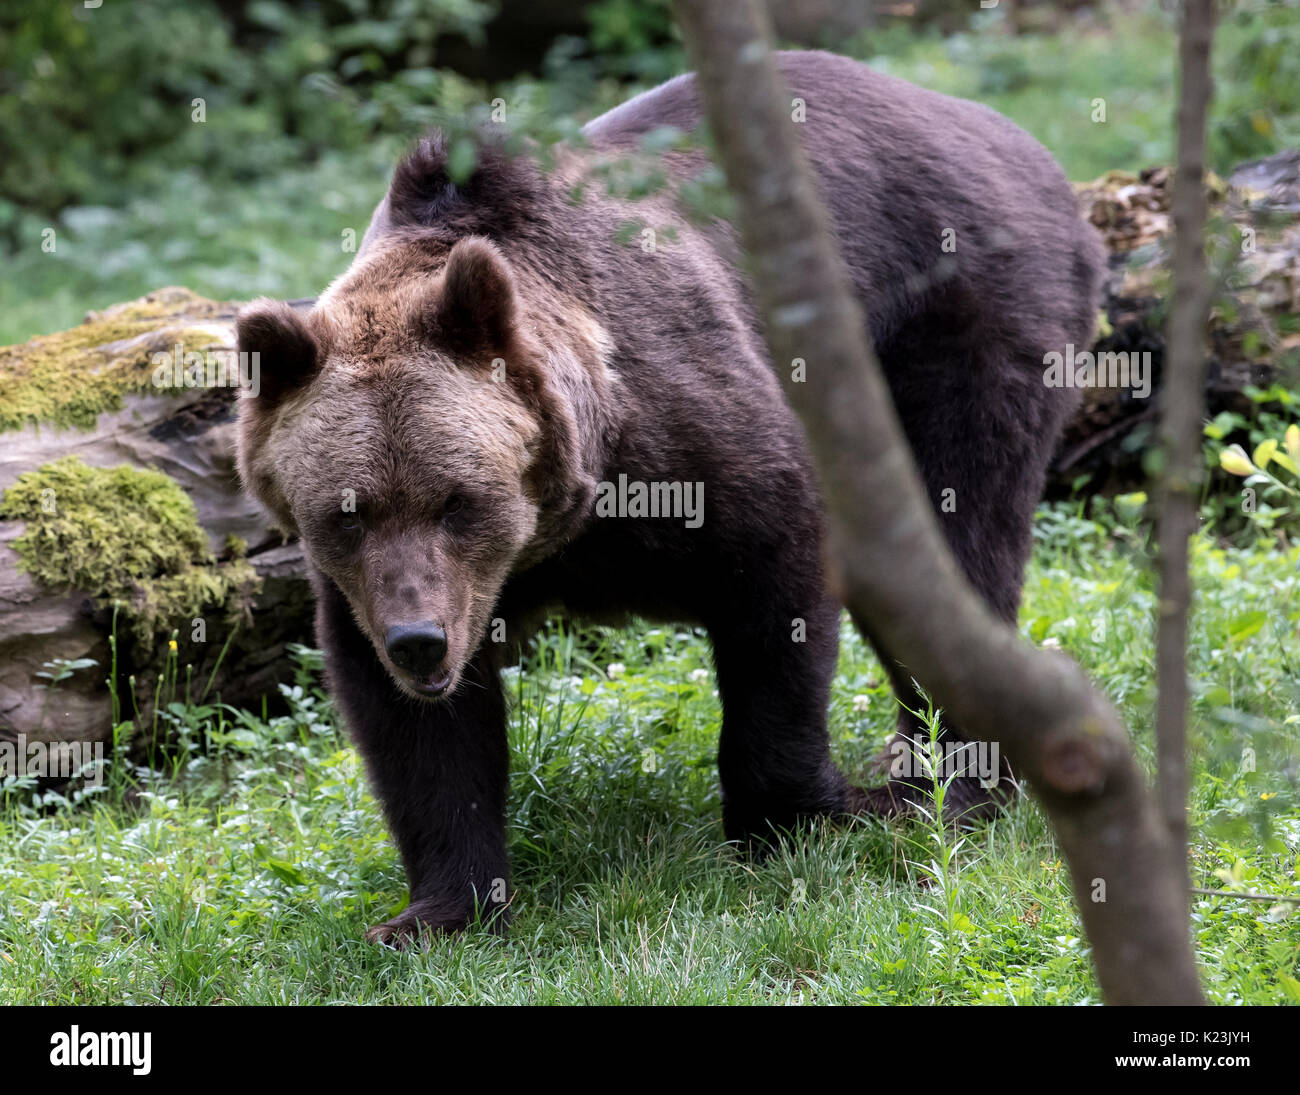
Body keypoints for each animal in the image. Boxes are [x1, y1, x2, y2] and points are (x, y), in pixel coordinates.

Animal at [236, 50, 1105, 945]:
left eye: (458, 499)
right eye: (349, 512)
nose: (419, 640)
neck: (572, 514)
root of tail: (1011, 136)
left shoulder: (694, 435)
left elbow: (777, 597)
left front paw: (791, 823)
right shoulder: (390, 590)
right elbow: (417, 735)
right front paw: (440, 909)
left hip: (955, 319)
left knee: (958, 532)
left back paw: (943, 787)